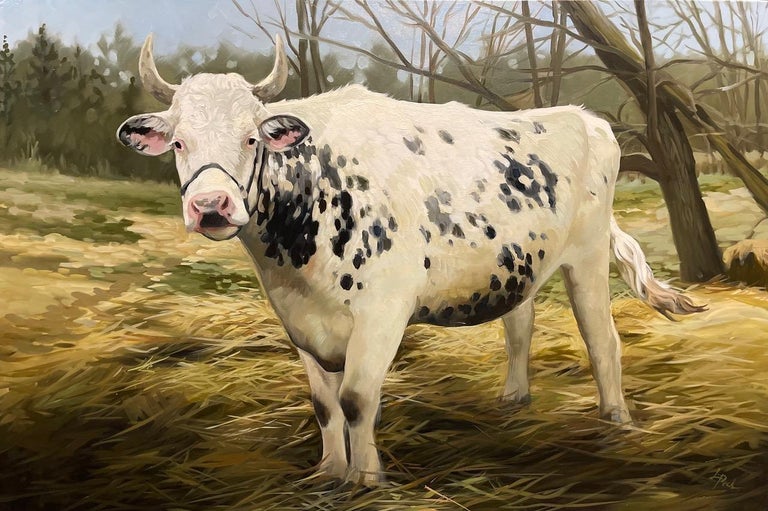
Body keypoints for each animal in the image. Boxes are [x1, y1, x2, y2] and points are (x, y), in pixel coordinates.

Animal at [117, 35, 704, 485]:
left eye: (250, 138)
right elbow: (324, 404)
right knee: (521, 324)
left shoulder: (383, 310)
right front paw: (329, 472)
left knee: (603, 341)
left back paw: (617, 420)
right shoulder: (298, 319)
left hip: (586, 255)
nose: (210, 206)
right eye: (179, 143)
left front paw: (366, 478)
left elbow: (356, 398)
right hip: (520, 260)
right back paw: (514, 398)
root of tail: (589, 120)